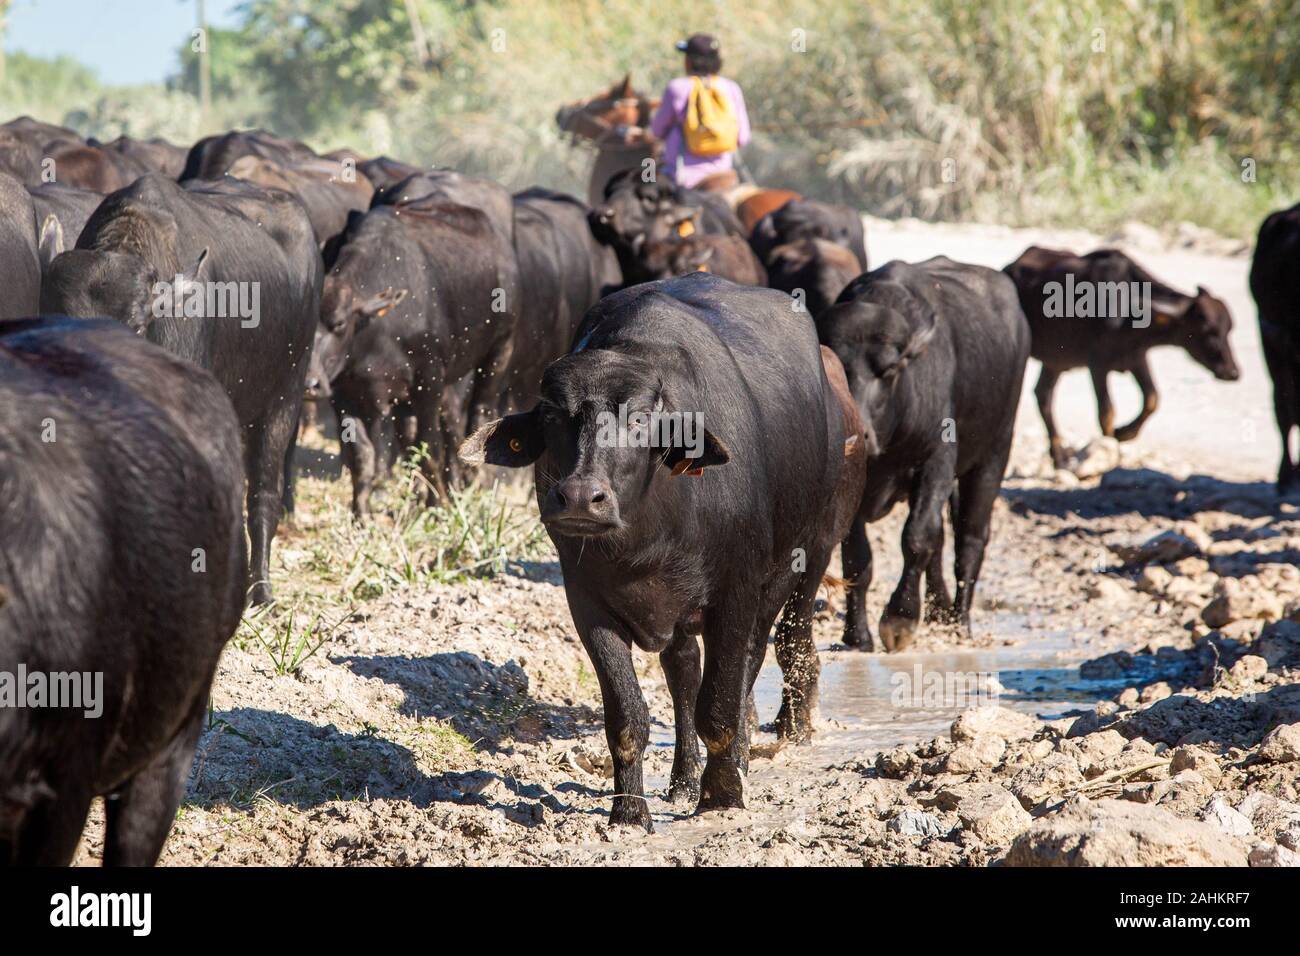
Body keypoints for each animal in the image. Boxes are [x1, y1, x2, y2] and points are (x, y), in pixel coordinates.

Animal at [313, 197, 517, 515]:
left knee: (477, 412)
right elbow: (363, 456)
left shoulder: (428, 383)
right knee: (440, 428)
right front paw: (361, 515)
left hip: (499, 349)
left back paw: (472, 485)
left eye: (340, 324)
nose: (310, 383)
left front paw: (438, 505)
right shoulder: (343, 395)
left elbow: (429, 449)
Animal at [458, 272, 865, 828]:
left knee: (754, 660)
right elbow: (628, 716)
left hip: (798, 561)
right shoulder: (587, 604)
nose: (580, 497)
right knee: (683, 671)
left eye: (639, 421)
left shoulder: (736, 593)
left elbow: (719, 706)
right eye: (554, 417)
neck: (645, 542)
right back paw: (682, 779)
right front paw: (630, 811)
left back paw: (735, 761)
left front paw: (722, 794)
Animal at [819, 257, 1030, 651]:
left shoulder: (936, 462)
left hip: (994, 453)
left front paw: (900, 619)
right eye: (838, 367)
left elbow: (917, 538)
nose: (860, 432)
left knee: (969, 539)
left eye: (890, 369)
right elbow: (857, 558)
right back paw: (939, 609)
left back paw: (959, 621)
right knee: (943, 539)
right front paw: (857, 635)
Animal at [1004, 246, 1240, 467]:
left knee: (1043, 395)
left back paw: (1060, 457)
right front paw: (1110, 449)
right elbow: (1107, 412)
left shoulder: (1137, 358)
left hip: (1056, 362)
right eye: (1208, 331)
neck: (1128, 311)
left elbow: (1152, 399)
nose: (1232, 372)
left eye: (1228, 328)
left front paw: (1124, 433)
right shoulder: (1097, 365)